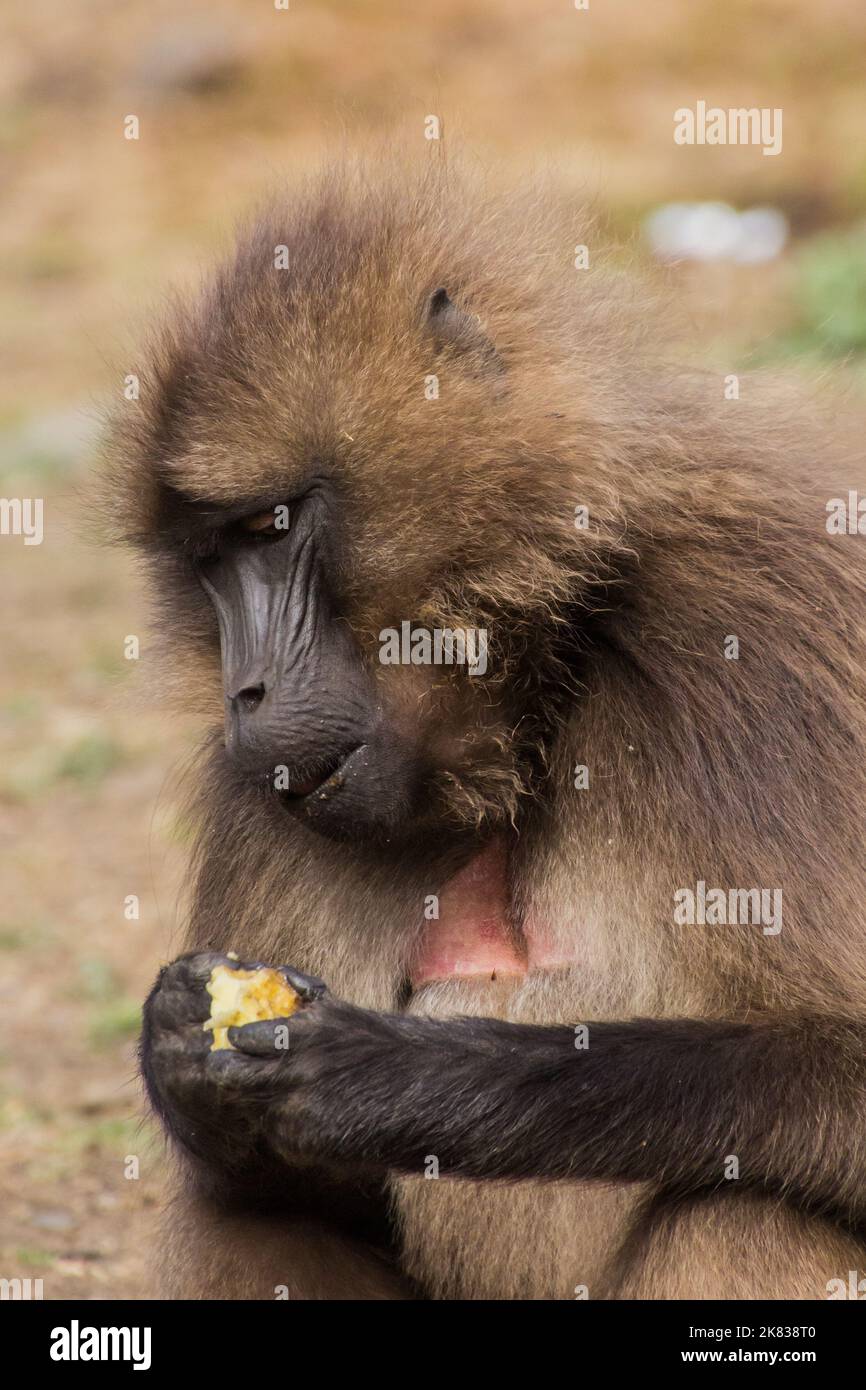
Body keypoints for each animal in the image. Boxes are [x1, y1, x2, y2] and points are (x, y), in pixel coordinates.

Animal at [101, 158, 866, 1300]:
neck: (543, 696)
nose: (246, 692)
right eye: (207, 562)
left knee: (736, 1216)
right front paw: (180, 1044)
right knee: (243, 1222)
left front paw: (418, 1076)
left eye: (270, 527)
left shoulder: (768, 636)